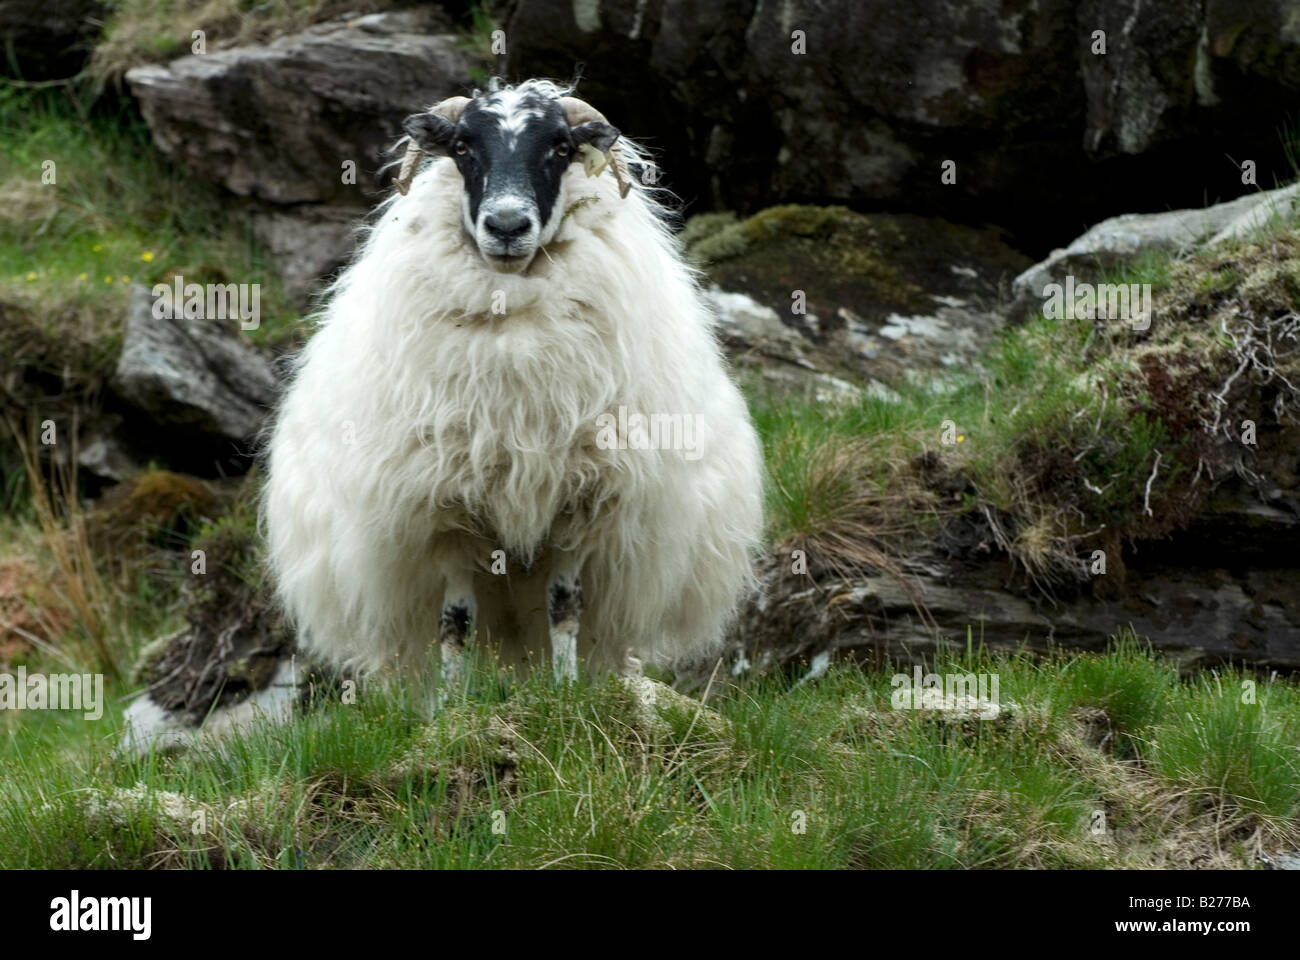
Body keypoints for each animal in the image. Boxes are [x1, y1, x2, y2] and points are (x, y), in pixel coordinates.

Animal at [260, 79, 765, 693]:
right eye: (462, 149)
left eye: (561, 148)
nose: (505, 226)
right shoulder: (444, 510)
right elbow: (455, 620)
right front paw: (452, 704)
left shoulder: (584, 503)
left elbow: (565, 606)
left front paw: (566, 691)